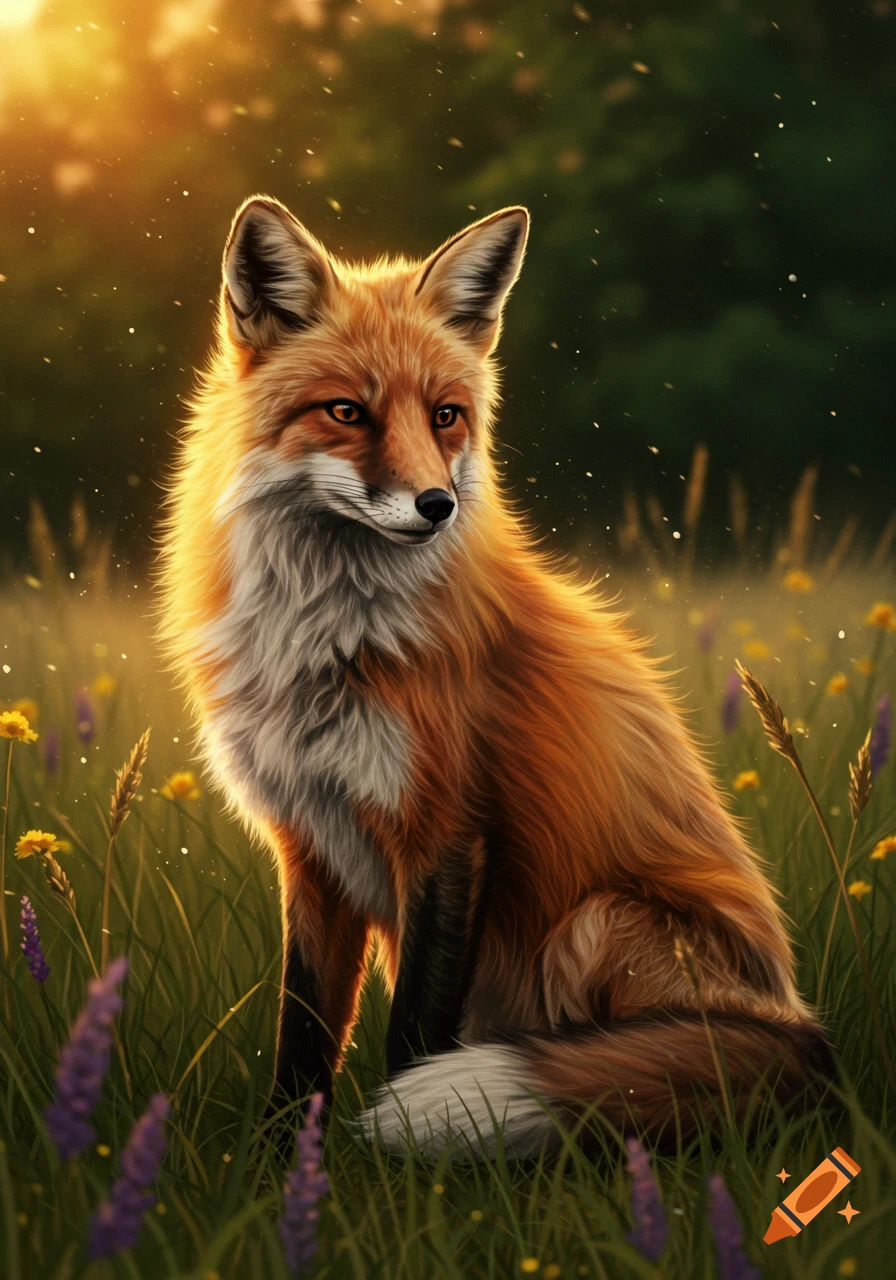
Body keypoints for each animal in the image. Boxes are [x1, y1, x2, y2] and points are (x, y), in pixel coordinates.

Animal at [159, 194, 833, 1159]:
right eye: (346, 412)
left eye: (446, 416)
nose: (436, 506)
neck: (330, 641)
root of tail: (803, 1033)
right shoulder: (312, 844)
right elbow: (304, 1035)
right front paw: (279, 1164)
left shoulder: (448, 827)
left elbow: (411, 1036)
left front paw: (386, 1167)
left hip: (596, 922)